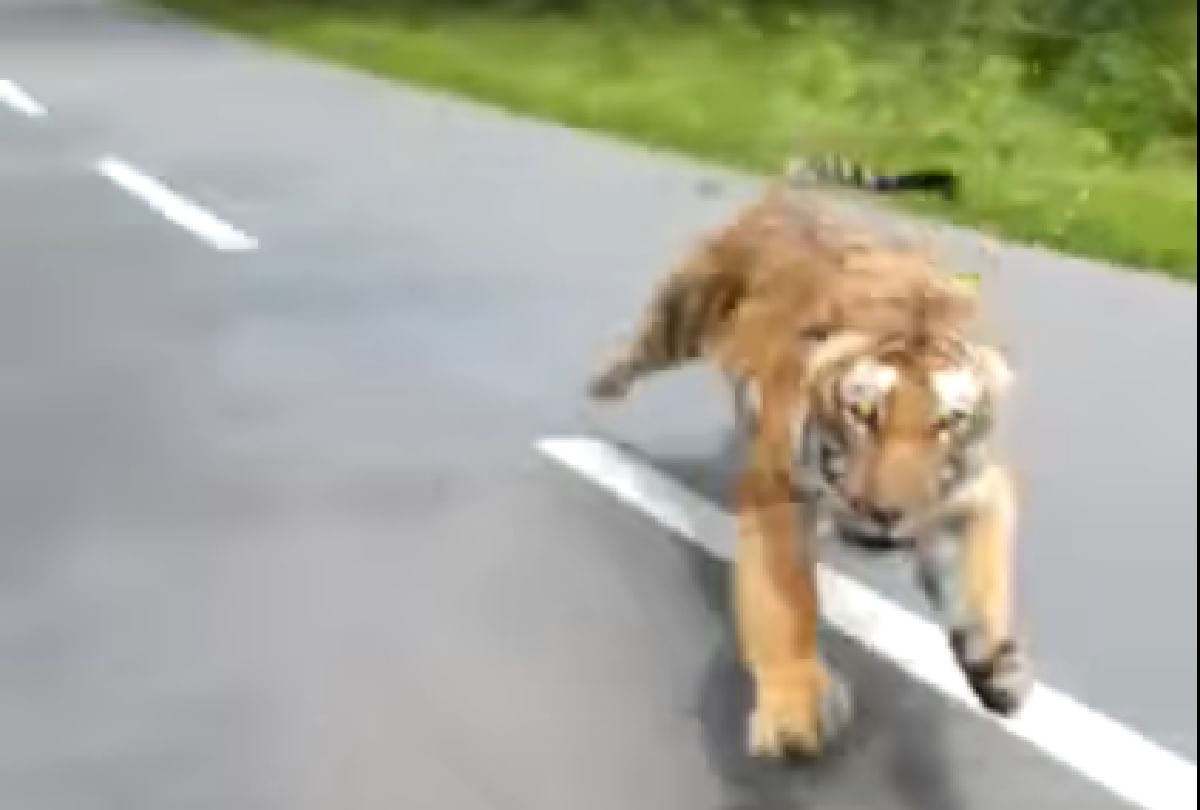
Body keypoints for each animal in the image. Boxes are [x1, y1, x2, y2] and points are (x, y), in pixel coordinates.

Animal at [586, 157, 1030, 759]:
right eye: (863, 414)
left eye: (948, 422)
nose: (886, 514)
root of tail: (797, 195)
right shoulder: (779, 491)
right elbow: (787, 602)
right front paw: (797, 709)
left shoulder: (975, 491)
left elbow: (981, 579)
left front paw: (996, 669)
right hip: (686, 310)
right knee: (641, 348)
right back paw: (599, 386)